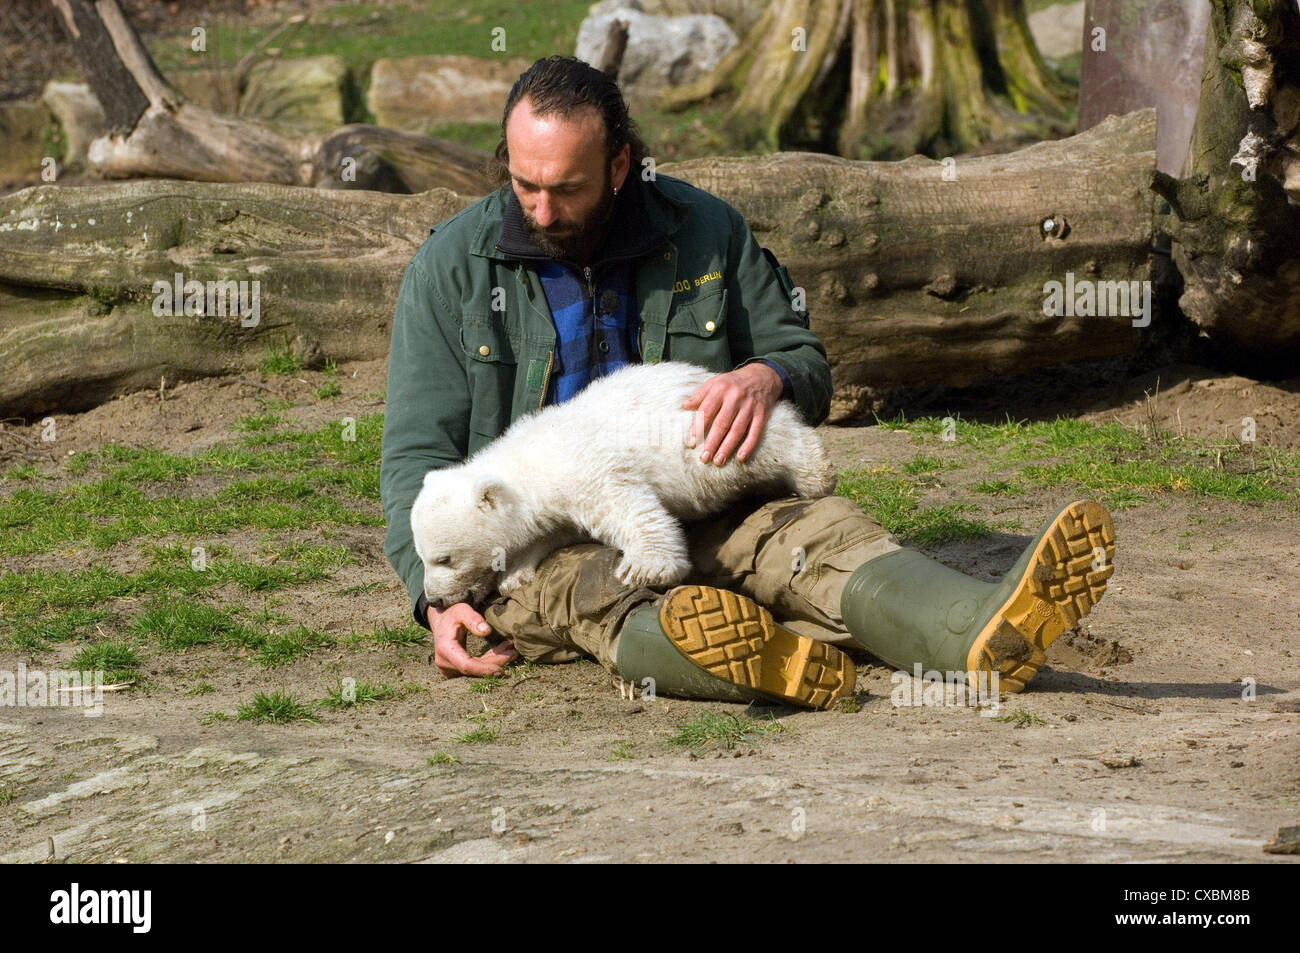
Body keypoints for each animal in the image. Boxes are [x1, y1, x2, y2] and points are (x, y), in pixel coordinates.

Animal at [410, 361, 838, 609]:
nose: (436, 601)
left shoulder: (586, 467)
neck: (531, 462)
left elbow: (627, 507)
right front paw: (516, 571)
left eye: (445, 559)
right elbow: (555, 531)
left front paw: (647, 567)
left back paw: (815, 473)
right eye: (423, 556)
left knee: (773, 442)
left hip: (719, 430)